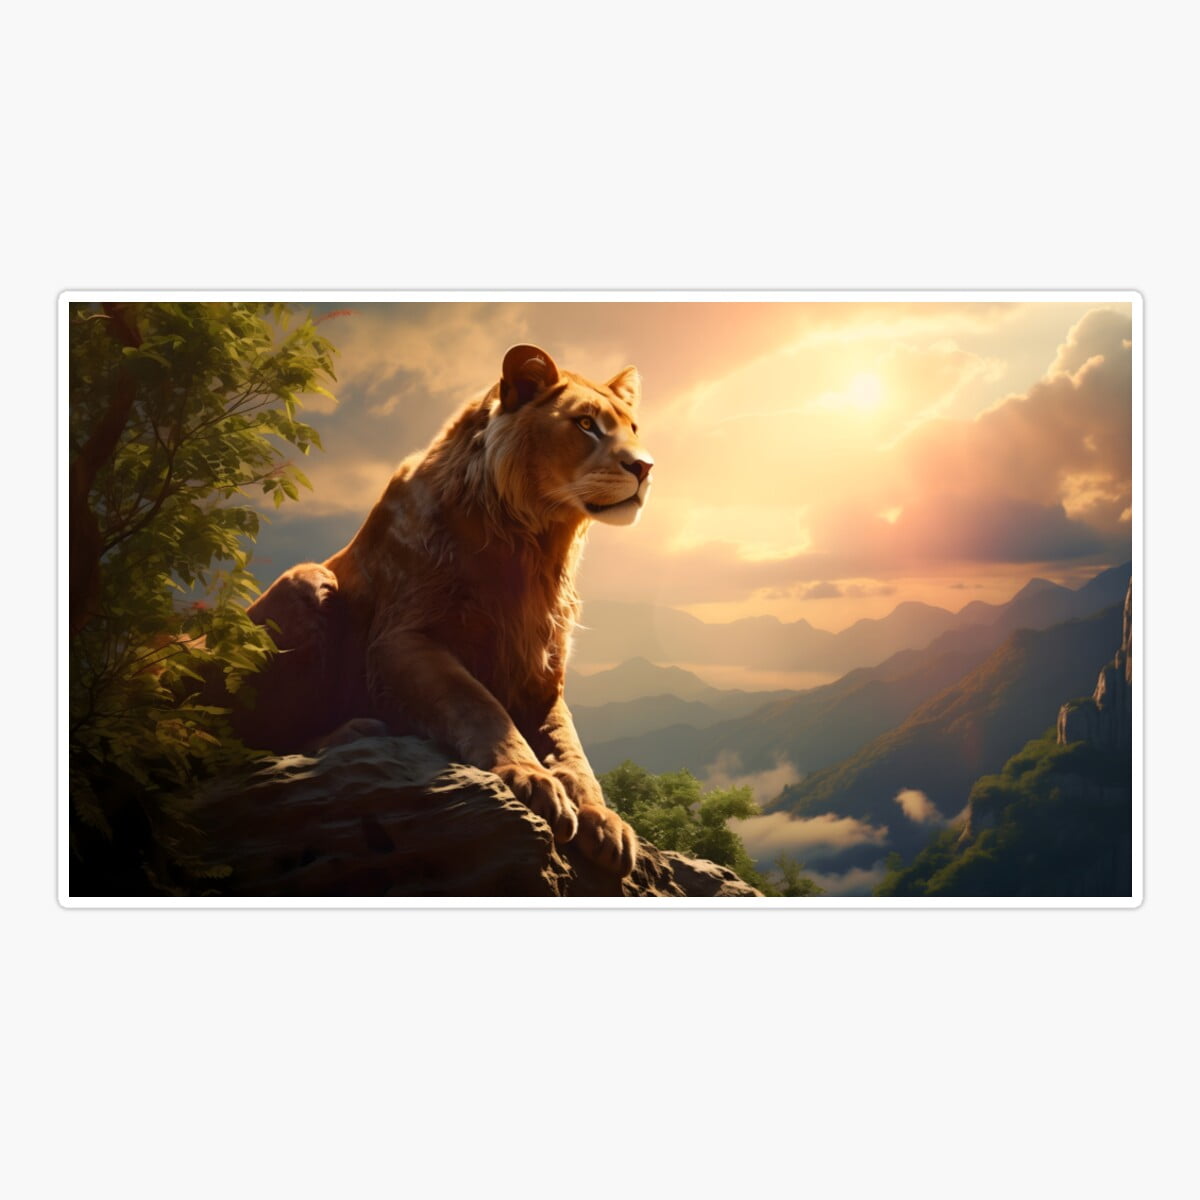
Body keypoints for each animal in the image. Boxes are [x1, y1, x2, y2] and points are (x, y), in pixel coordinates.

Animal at [233, 343, 653, 877]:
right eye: (585, 424)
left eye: (633, 428)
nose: (645, 467)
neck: (536, 542)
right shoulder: (400, 639)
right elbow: (476, 703)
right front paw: (529, 777)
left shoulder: (543, 673)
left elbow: (572, 751)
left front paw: (606, 821)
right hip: (308, 580)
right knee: (236, 743)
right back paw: (356, 730)